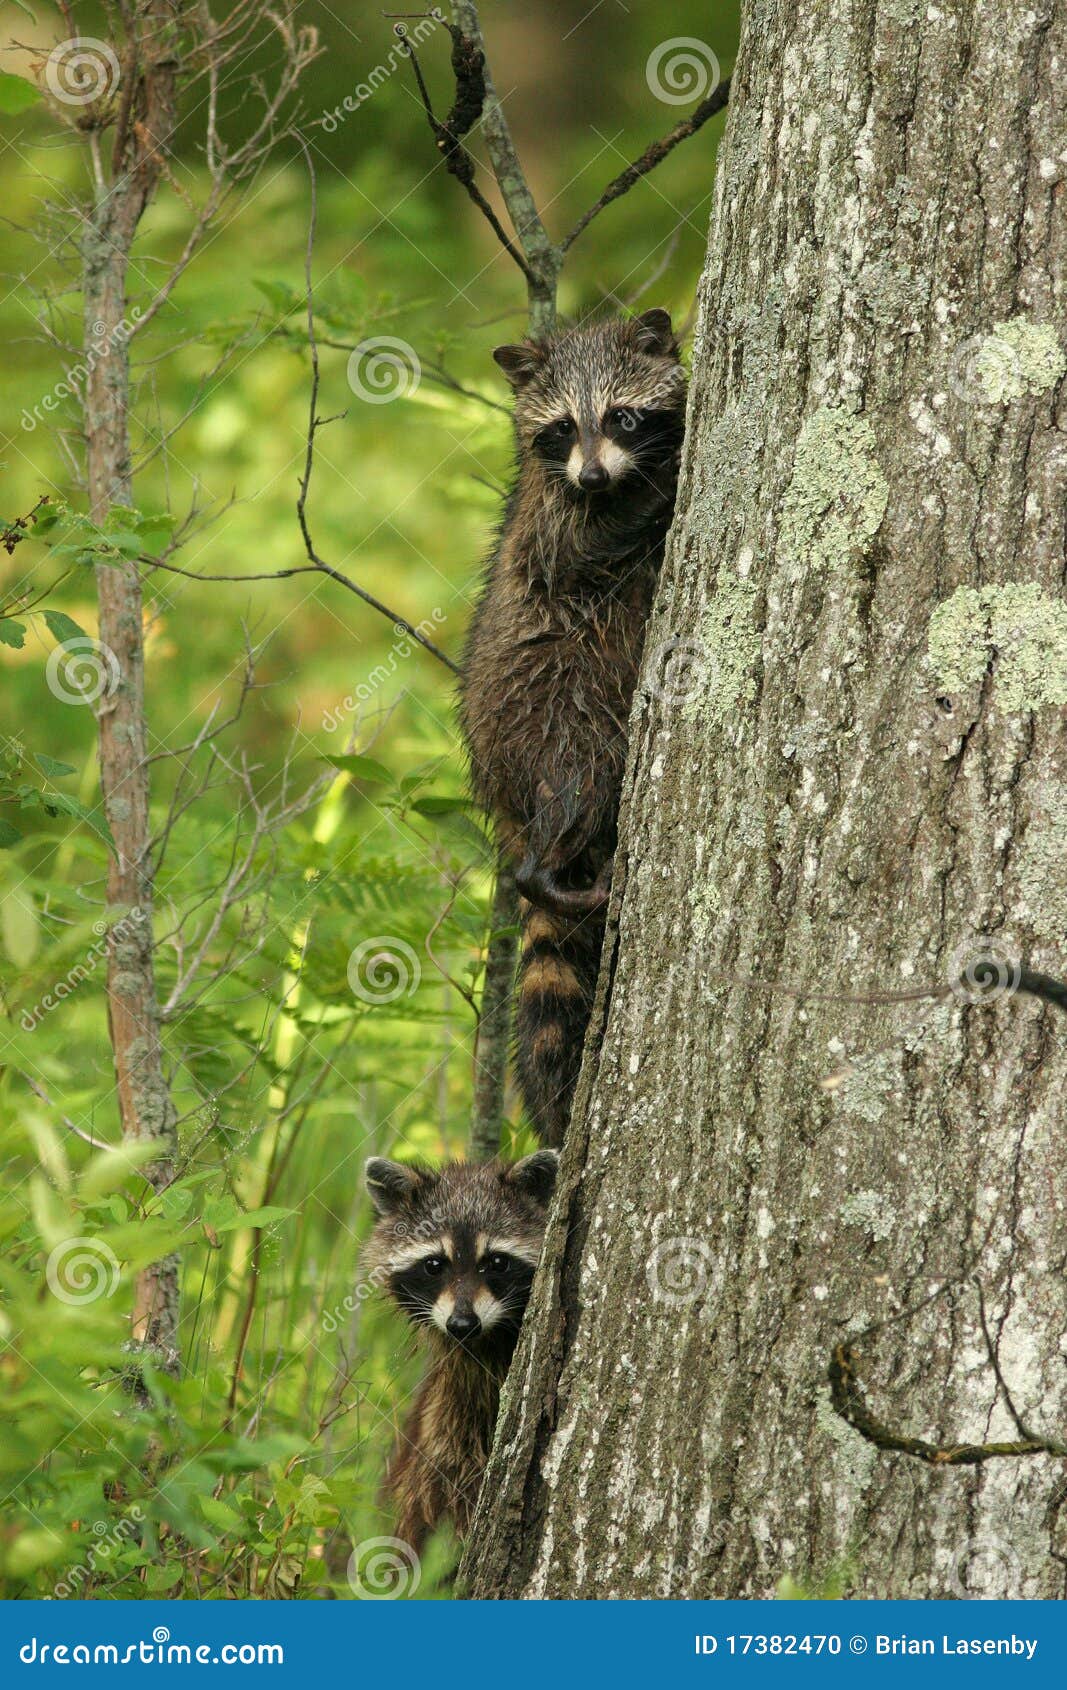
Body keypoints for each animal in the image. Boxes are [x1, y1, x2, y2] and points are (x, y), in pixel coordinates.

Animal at [363, 1148, 558, 1551]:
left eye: (497, 1262)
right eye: (434, 1265)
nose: (462, 1325)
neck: (487, 1343)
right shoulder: (455, 1394)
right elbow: (446, 1475)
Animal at [460, 310, 687, 1146]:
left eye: (619, 415)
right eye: (561, 427)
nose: (592, 478)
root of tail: (500, 792)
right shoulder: (554, 522)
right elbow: (587, 544)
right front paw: (666, 483)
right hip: (559, 723)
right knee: (575, 797)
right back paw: (554, 877)